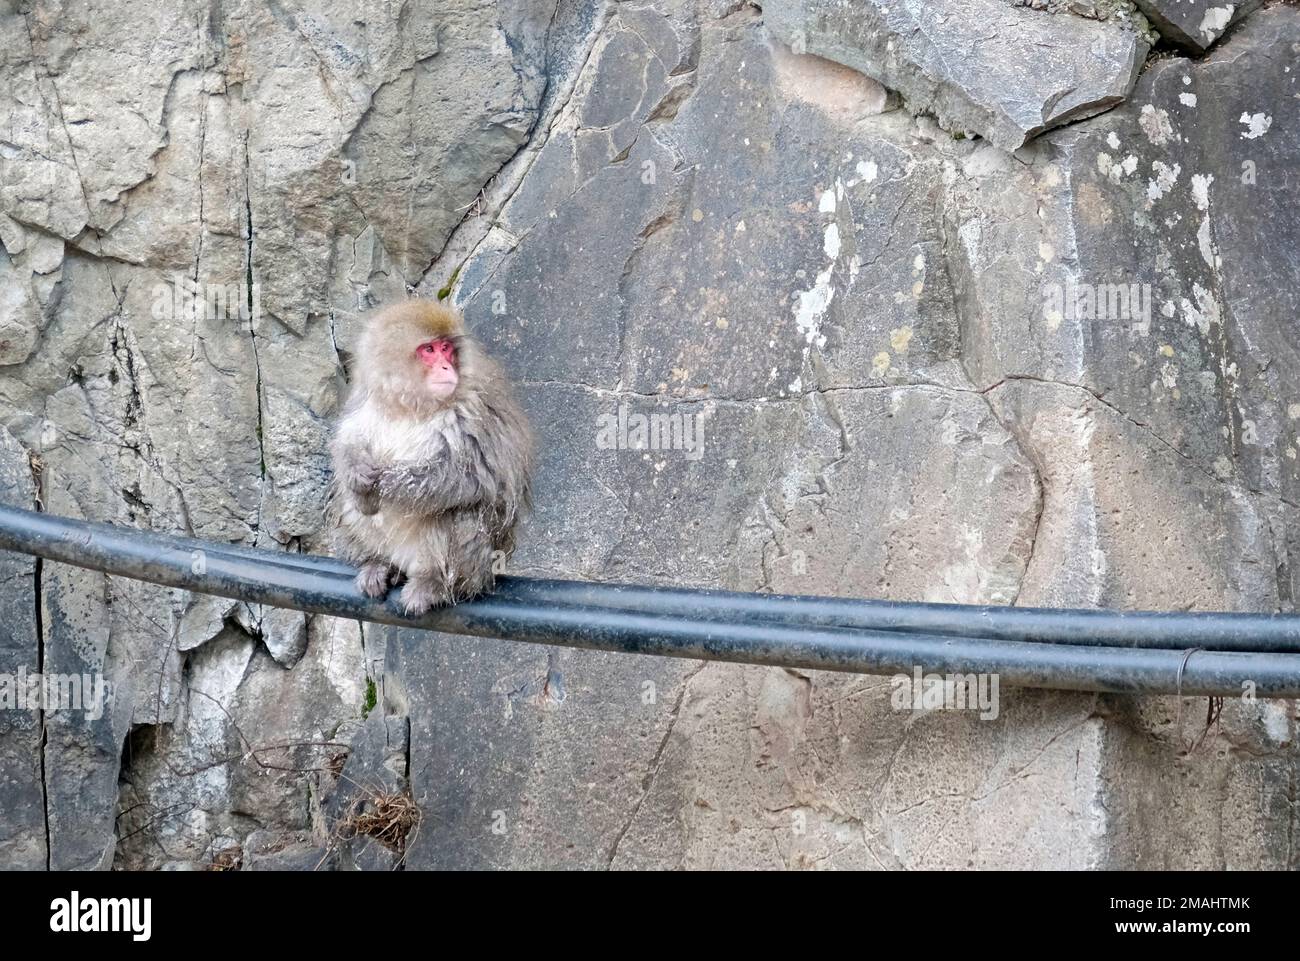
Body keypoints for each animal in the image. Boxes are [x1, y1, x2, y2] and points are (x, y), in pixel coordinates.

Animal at [328, 300, 533, 614]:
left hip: (475, 568)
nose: (447, 366)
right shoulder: (366, 400)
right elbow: (348, 440)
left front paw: (387, 482)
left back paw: (436, 585)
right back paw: (378, 564)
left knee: (462, 513)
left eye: (446, 348)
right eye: (429, 350)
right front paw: (355, 471)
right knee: (348, 504)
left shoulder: (474, 411)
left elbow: (474, 478)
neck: (410, 405)